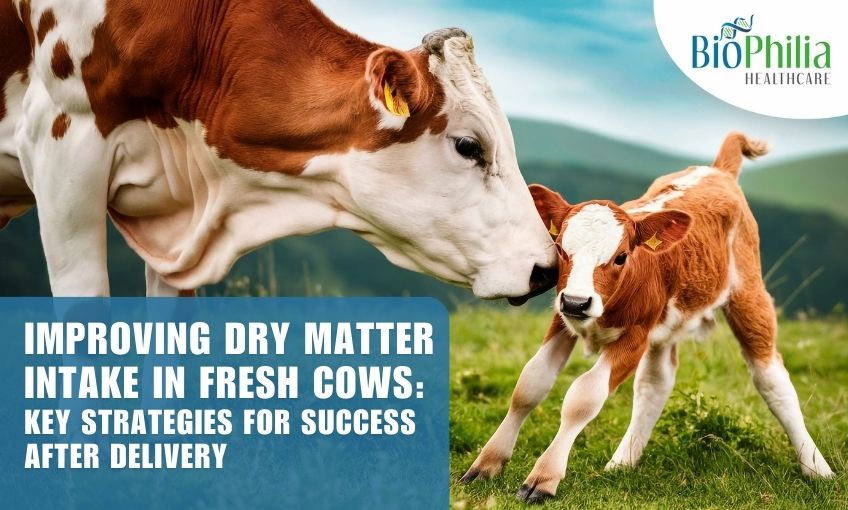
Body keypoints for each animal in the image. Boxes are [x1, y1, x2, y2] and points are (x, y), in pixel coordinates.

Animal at [460, 133, 834, 503]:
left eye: (621, 256)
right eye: (562, 249)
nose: (578, 301)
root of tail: (716, 170)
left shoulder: (634, 338)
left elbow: (583, 398)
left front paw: (543, 478)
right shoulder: (562, 321)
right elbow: (529, 385)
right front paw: (487, 463)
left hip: (749, 297)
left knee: (772, 380)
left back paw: (817, 468)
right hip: (666, 327)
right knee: (656, 382)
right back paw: (623, 462)